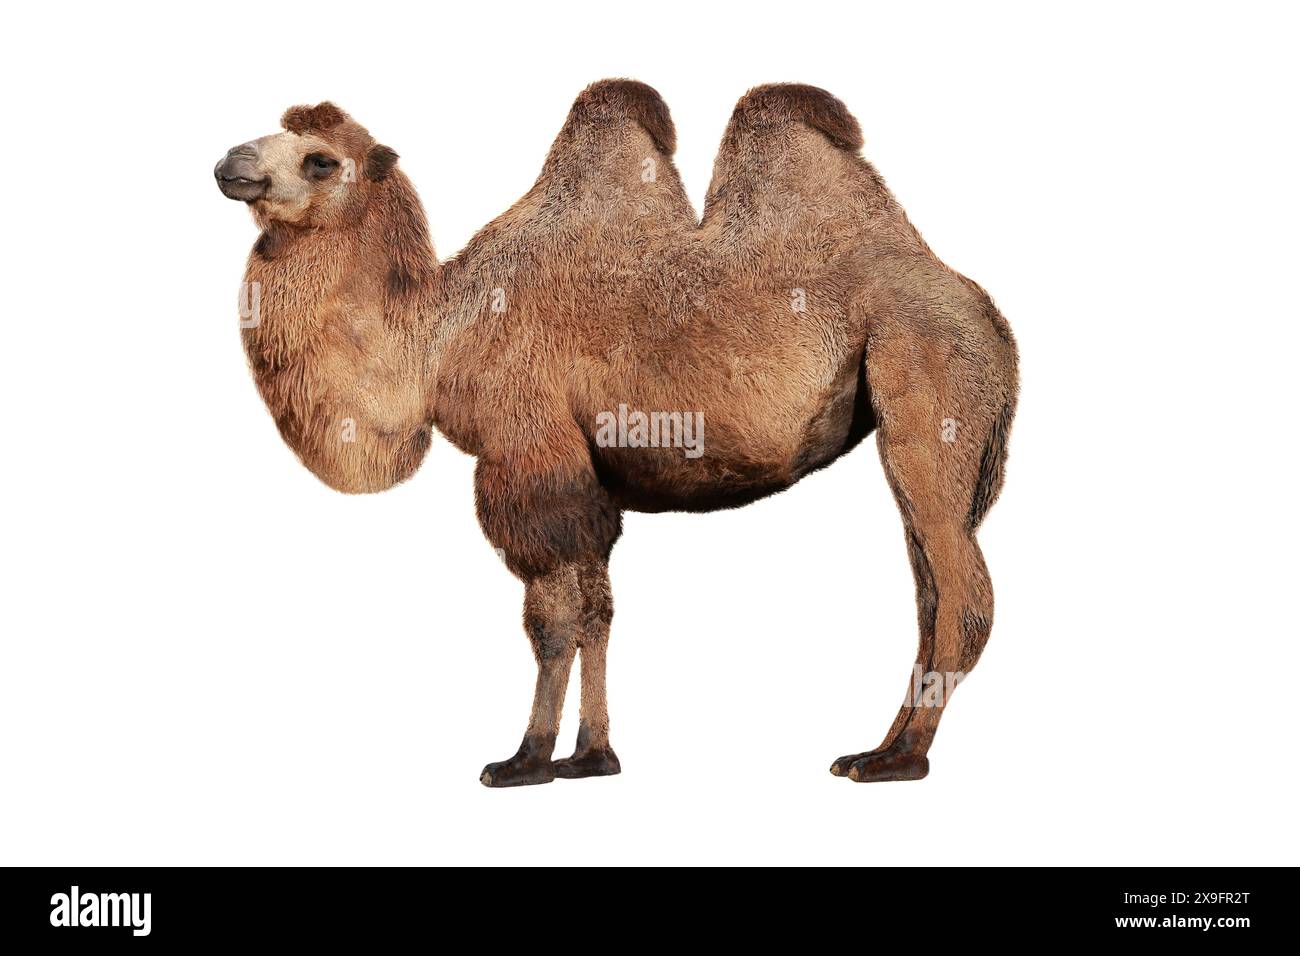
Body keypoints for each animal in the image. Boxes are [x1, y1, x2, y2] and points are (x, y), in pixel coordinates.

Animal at [214, 80, 1019, 786]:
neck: (436, 338)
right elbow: (599, 611)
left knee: (959, 592)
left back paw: (900, 759)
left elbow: (551, 620)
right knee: (927, 594)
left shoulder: (527, 453)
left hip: (925, 379)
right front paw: (592, 756)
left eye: (321, 159)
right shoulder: (588, 478)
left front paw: (525, 759)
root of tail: (983, 312)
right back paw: (876, 748)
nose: (230, 163)